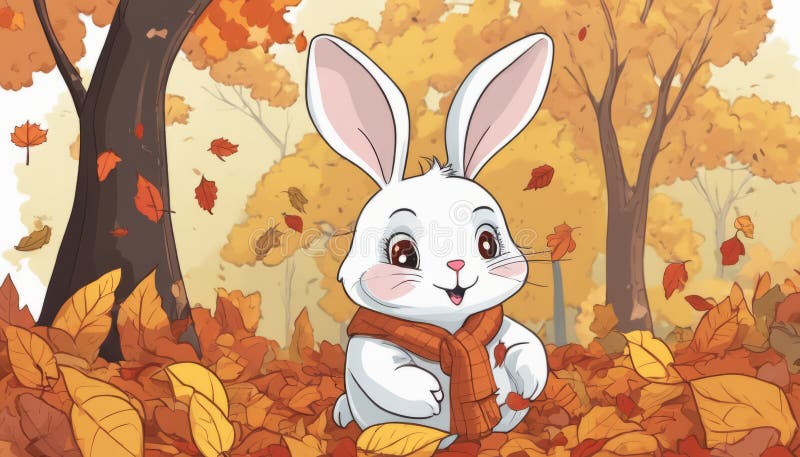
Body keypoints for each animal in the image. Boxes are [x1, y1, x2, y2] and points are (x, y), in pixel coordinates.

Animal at [305, 33, 553, 443]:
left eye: (488, 243)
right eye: (402, 254)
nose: (457, 265)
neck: (447, 330)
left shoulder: (497, 326)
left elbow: (525, 342)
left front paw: (531, 382)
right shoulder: (368, 342)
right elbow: (376, 368)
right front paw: (428, 395)